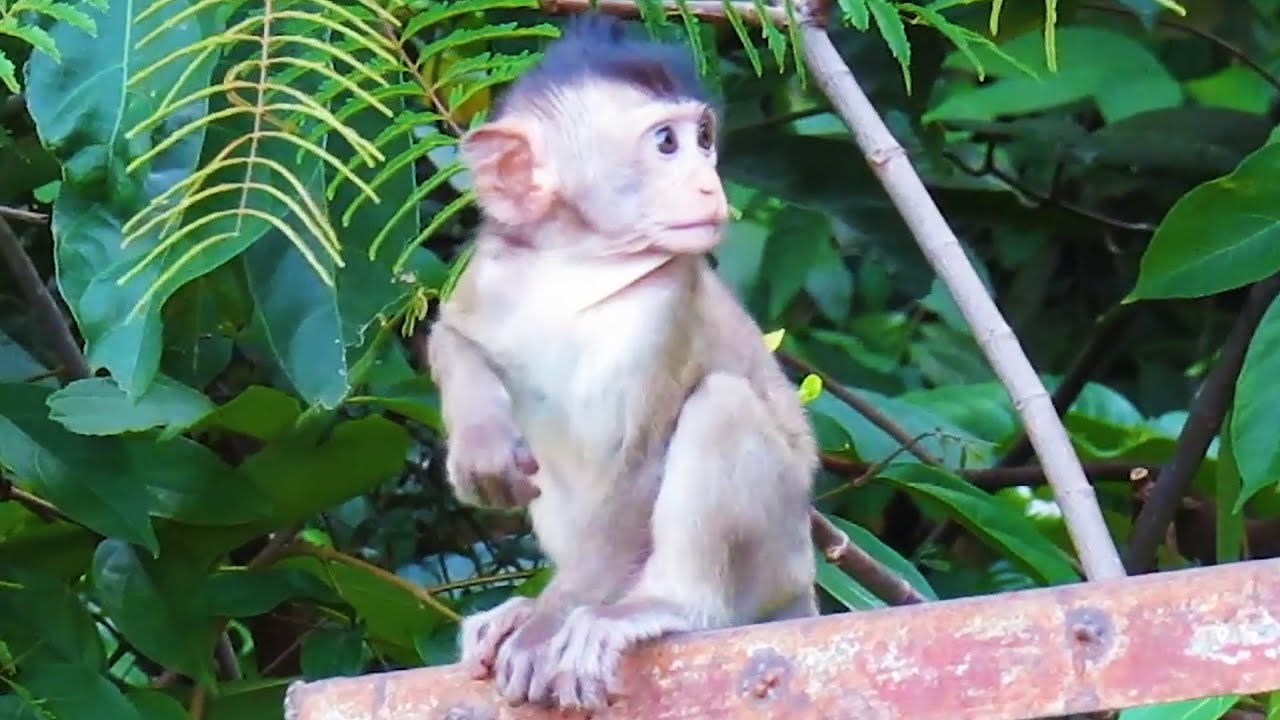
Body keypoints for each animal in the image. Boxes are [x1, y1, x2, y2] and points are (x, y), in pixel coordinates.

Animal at [425, 14, 819, 712]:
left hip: (776, 568)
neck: (580, 263)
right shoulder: (493, 270)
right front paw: (480, 441)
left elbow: (643, 467)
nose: (710, 183)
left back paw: (660, 606)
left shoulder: (673, 306)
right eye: (666, 143)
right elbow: (453, 337)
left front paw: (544, 630)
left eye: (704, 140)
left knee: (721, 406)